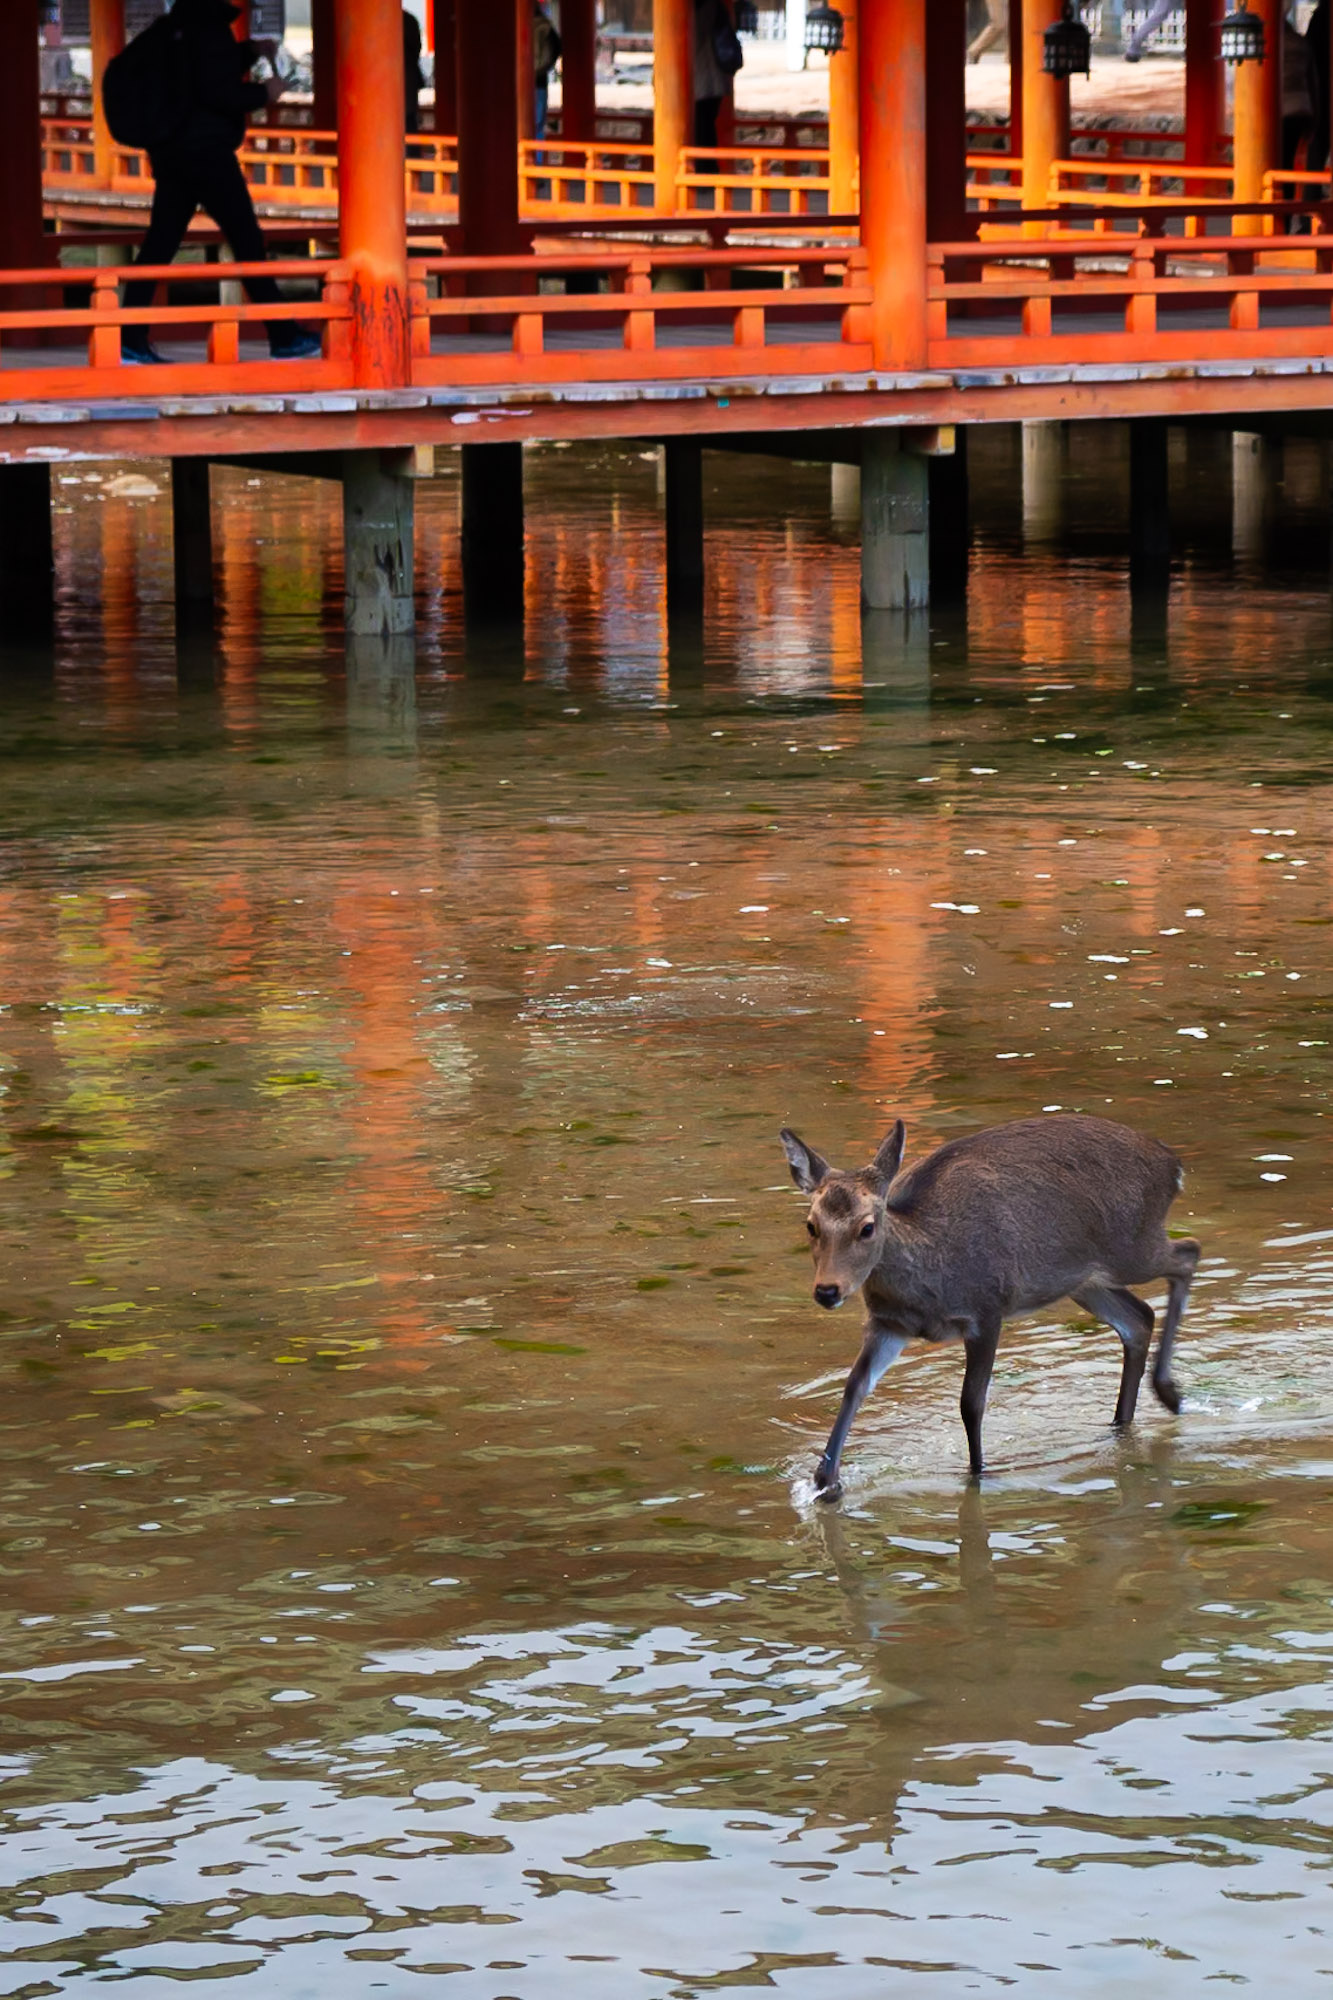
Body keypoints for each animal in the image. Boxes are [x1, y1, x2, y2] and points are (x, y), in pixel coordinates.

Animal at [779, 1114, 1200, 1499]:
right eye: (811, 1225)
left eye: (866, 1227)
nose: (827, 1290)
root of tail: (1173, 1166)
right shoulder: (888, 1325)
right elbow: (854, 1386)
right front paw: (823, 1483)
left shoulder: (986, 1309)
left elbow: (971, 1402)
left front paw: (978, 1473)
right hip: (1083, 1280)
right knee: (1139, 1317)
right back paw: (1124, 1421)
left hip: (1132, 1246)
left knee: (1188, 1252)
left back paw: (1168, 1392)